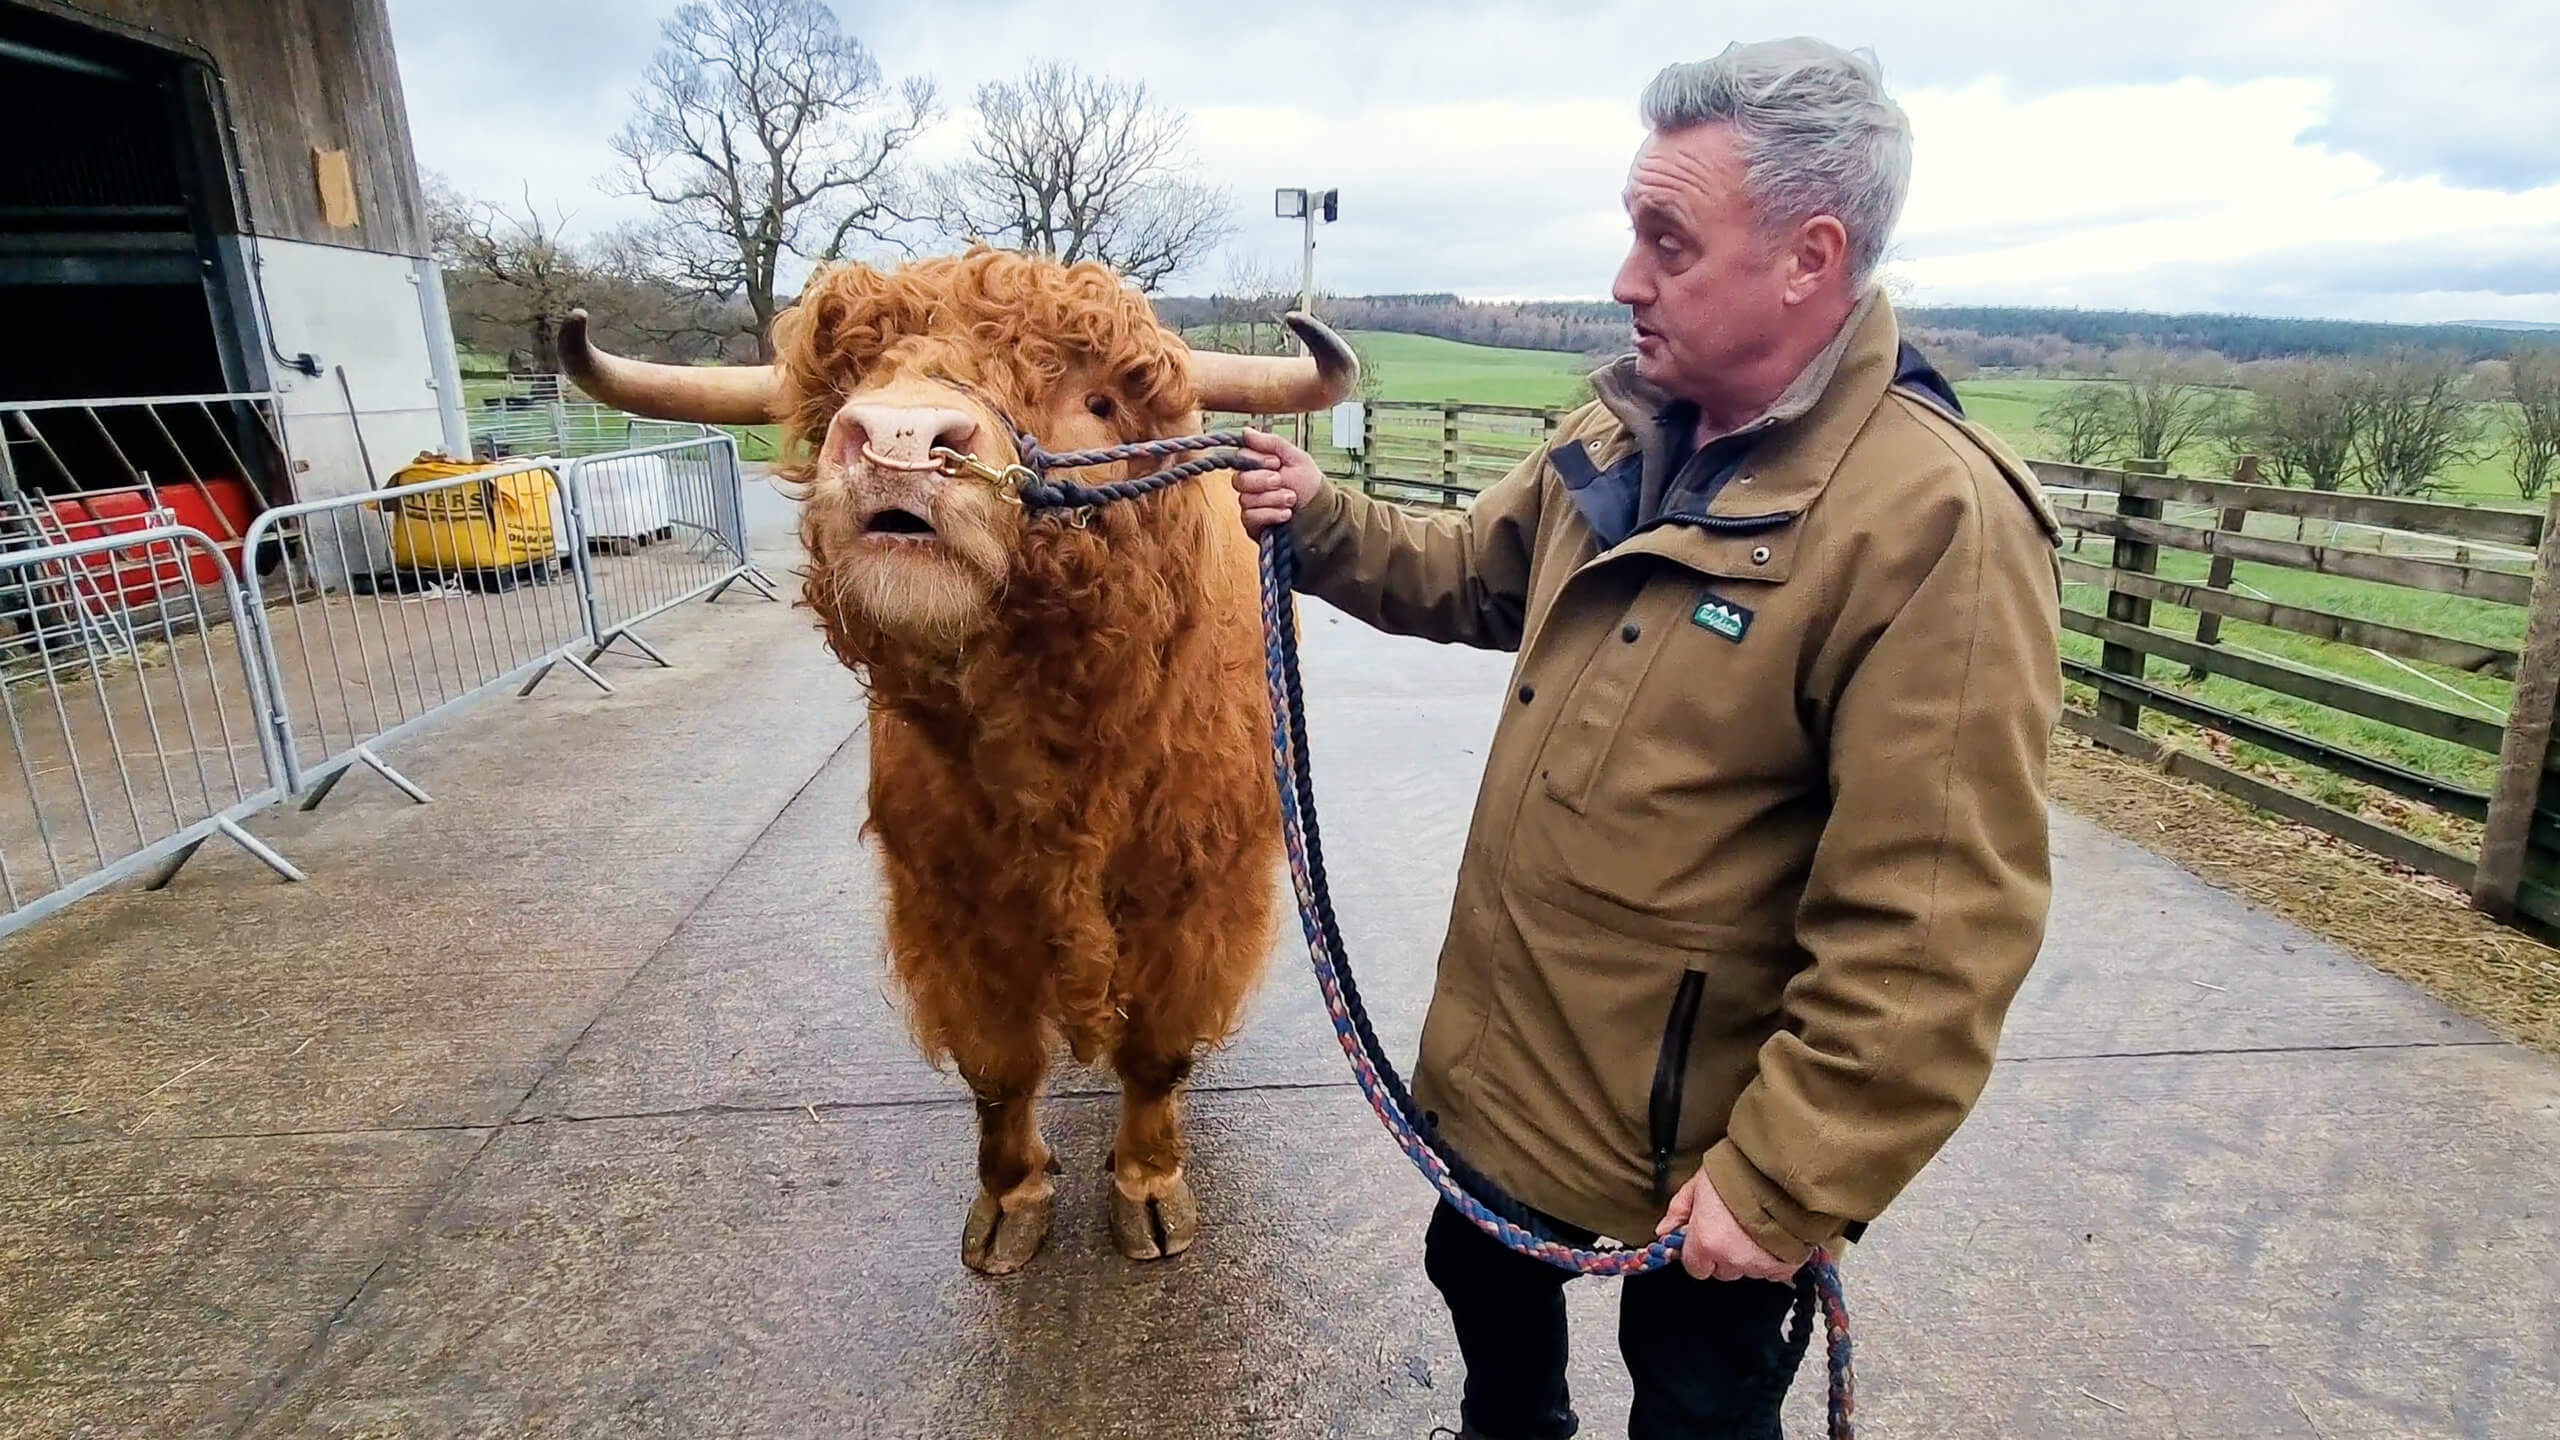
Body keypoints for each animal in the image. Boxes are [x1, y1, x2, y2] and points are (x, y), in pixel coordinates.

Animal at [560, 247, 1358, 1274]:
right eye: (847, 388)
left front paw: (1146, 1186)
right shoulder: (949, 903)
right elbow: (996, 1066)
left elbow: (1157, 1052)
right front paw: (1012, 1197)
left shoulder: (1196, 894)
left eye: (1098, 400)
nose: (896, 439)